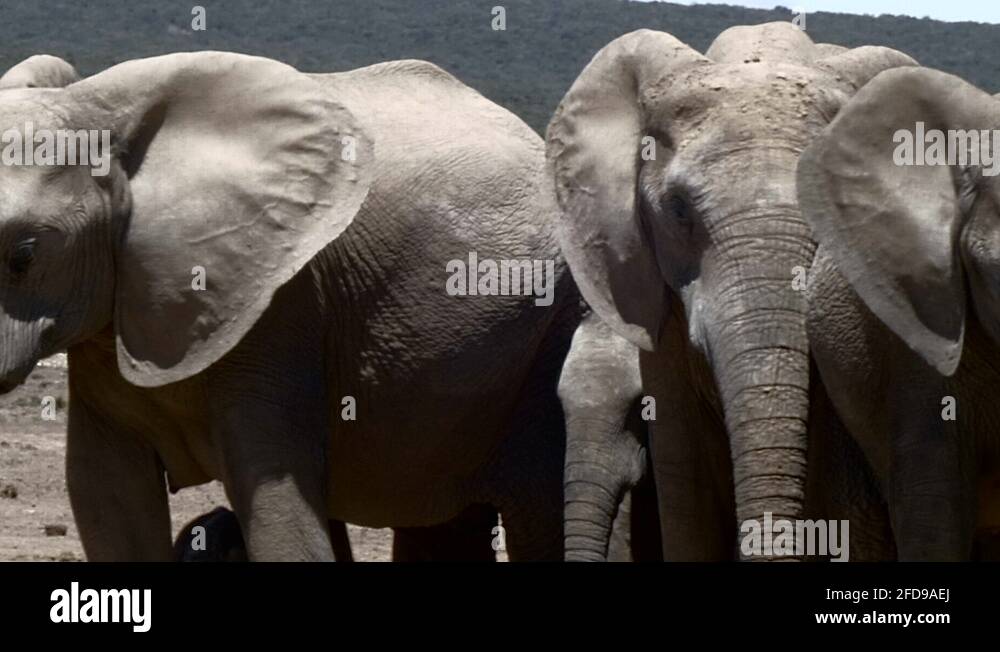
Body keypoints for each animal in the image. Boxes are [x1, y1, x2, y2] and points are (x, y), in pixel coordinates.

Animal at [0, 51, 582, 561]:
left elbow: (277, 505)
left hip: (551, 331)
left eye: (24, 256)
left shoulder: (280, 305)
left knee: (538, 515)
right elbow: (108, 497)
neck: (92, 104)